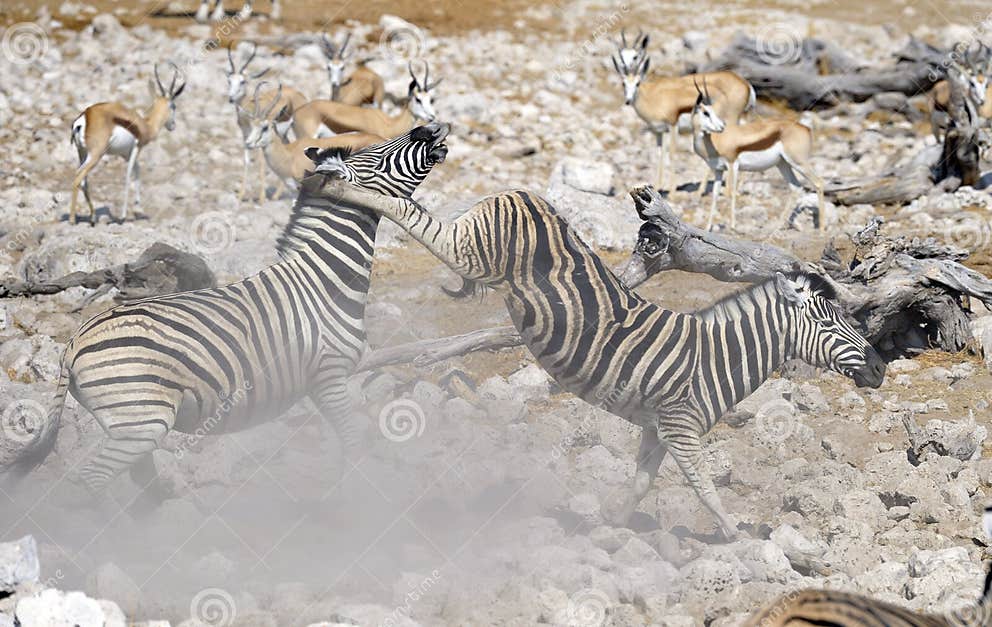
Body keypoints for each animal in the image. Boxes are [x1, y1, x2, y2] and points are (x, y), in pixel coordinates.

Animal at [13, 122, 449, 493]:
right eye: (379, 156)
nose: (430, 128)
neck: (323, 280)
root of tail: (73, 344)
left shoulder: (321, 382)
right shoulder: (330, 376)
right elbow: (353, 444)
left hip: (132, 425)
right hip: (139, 420)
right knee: (90, 481)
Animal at [319, 178, 886, 539]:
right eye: (832, 324)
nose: (881, 368)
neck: (715, 357)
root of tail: (524, 193)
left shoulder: (657, 427)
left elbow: (640, 484)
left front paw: (611, 527)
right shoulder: (681, 426)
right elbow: (705, 488)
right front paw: (739, 540)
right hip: (470, 252)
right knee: (413, 217)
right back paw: (336, 185)